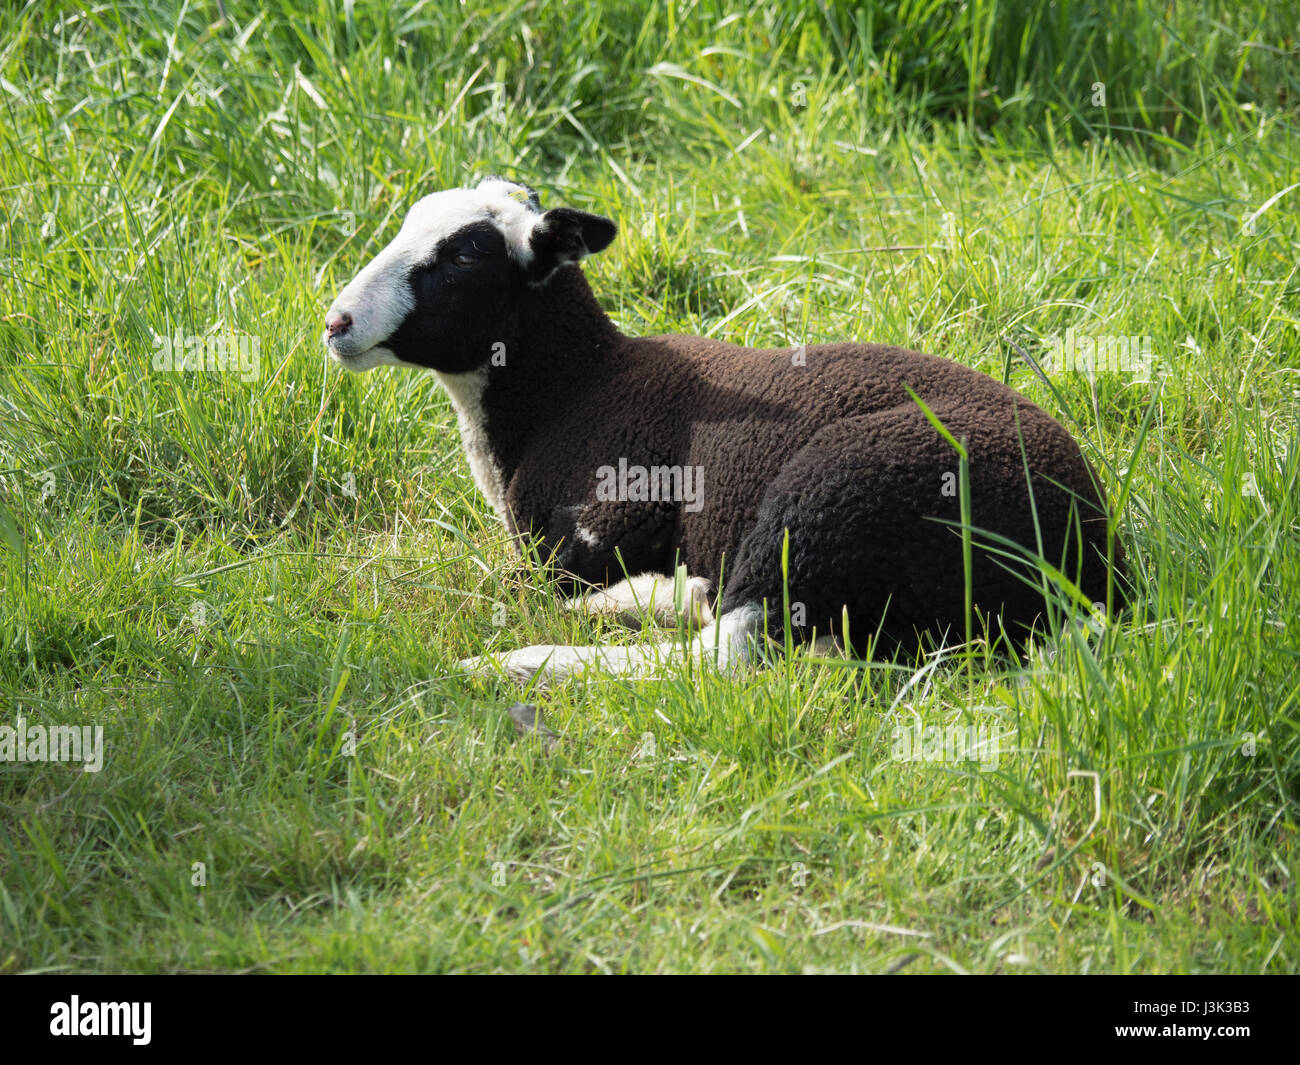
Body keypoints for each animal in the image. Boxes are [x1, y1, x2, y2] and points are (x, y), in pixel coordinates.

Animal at [324, 176, 1126, 685]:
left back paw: (516, 663)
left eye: (465, 255)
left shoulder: (604, 523)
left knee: (721, 655)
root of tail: (1090, 564)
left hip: (837, 496)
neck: (573, 389)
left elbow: (541, 579)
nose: (336, 322)